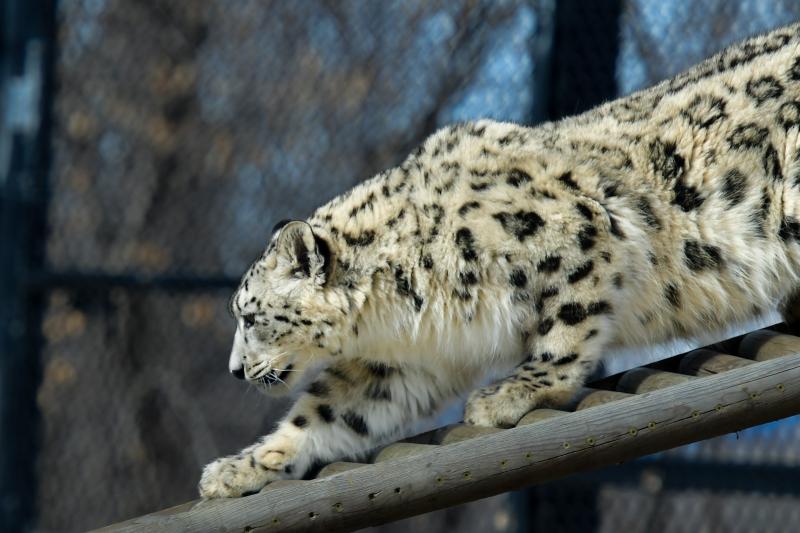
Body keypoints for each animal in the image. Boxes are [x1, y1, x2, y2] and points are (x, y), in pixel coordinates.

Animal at [199, 22, 800, 498]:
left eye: (250, 317)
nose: (233, 371)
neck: (402, 311)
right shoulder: (406, 361)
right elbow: (328, 410)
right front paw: (238, 468)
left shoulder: (576, 230)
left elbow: (566, 326)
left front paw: (512, 392)